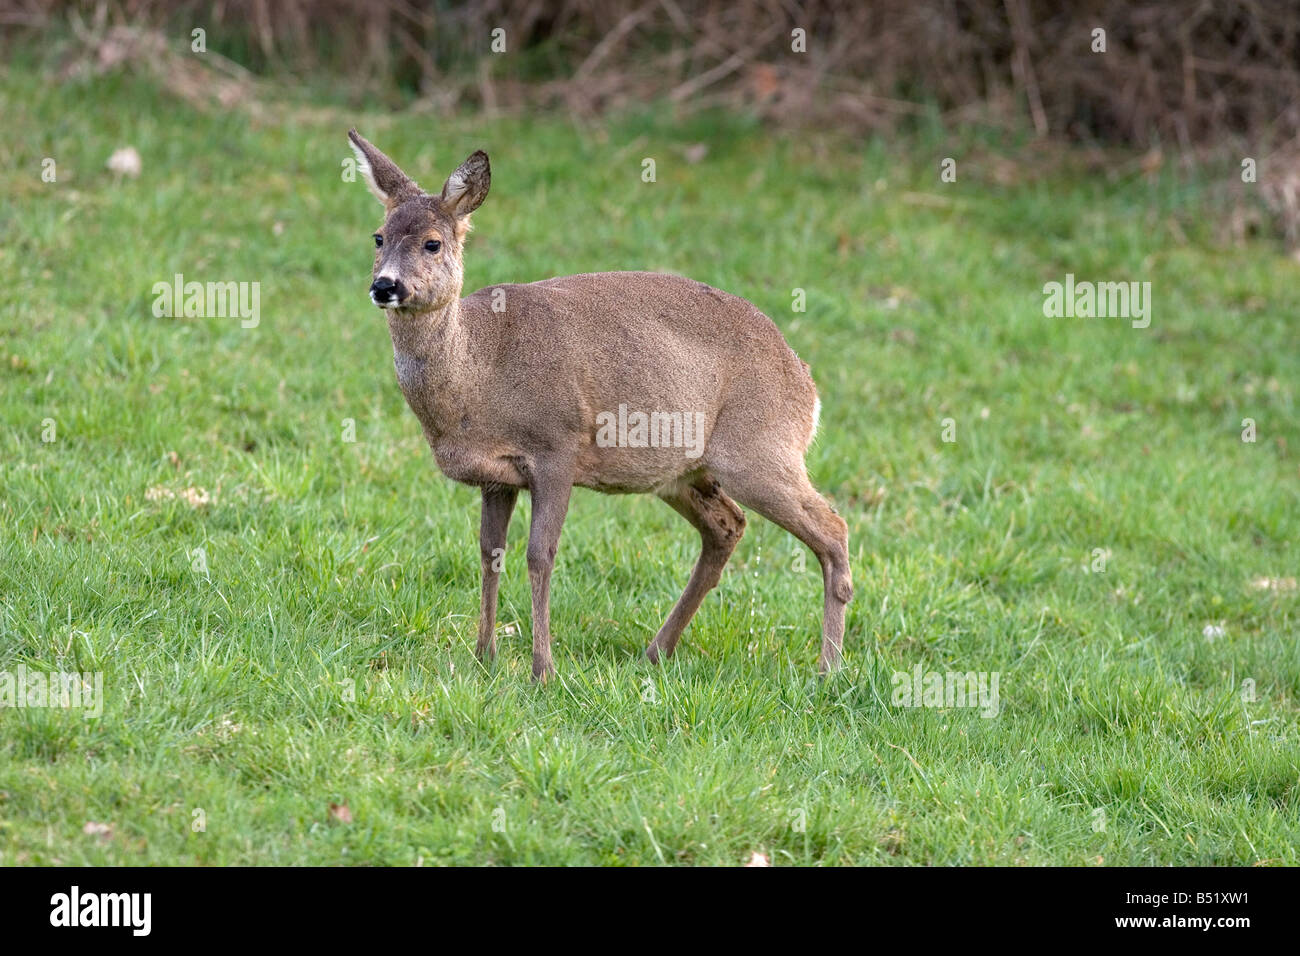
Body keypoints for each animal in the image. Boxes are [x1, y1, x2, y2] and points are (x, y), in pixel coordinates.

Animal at [347, 129, 852, 682]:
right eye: (378, 237)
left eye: (433, 242)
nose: (385, 285)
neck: (478, 372)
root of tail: (806, 382)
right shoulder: (497, 476)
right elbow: (488, 552)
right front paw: (484, 657)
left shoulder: (557, 447)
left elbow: (539, 554)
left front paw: (542, 669)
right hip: (684, 470)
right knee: (728, 526)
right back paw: (657, 650)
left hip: (760, 448)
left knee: (833, 529)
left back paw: (828, 670)